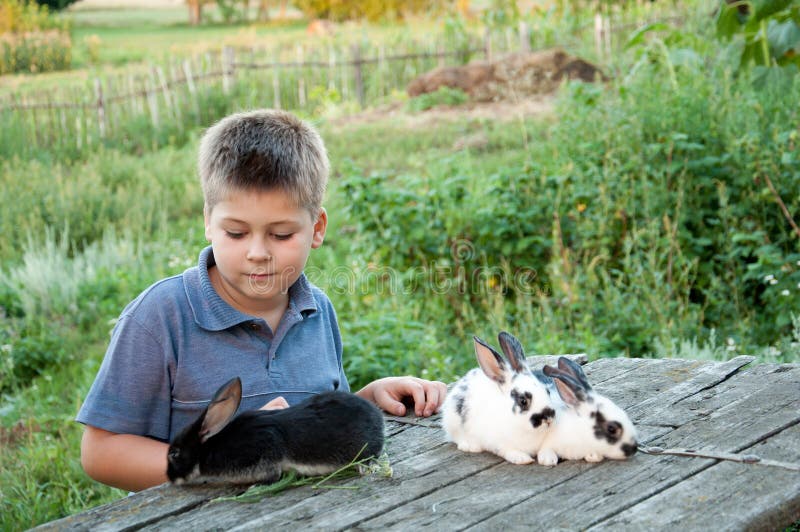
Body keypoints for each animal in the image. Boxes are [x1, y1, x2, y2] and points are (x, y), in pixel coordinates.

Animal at [442, 331, 557, 465]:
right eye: (523, 401)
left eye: (547, 391)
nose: (548, 418)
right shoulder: (498, 443)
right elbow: (508, 451)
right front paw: (522, 459)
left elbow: (546, 447)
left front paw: (549, 459)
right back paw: (471, 446)